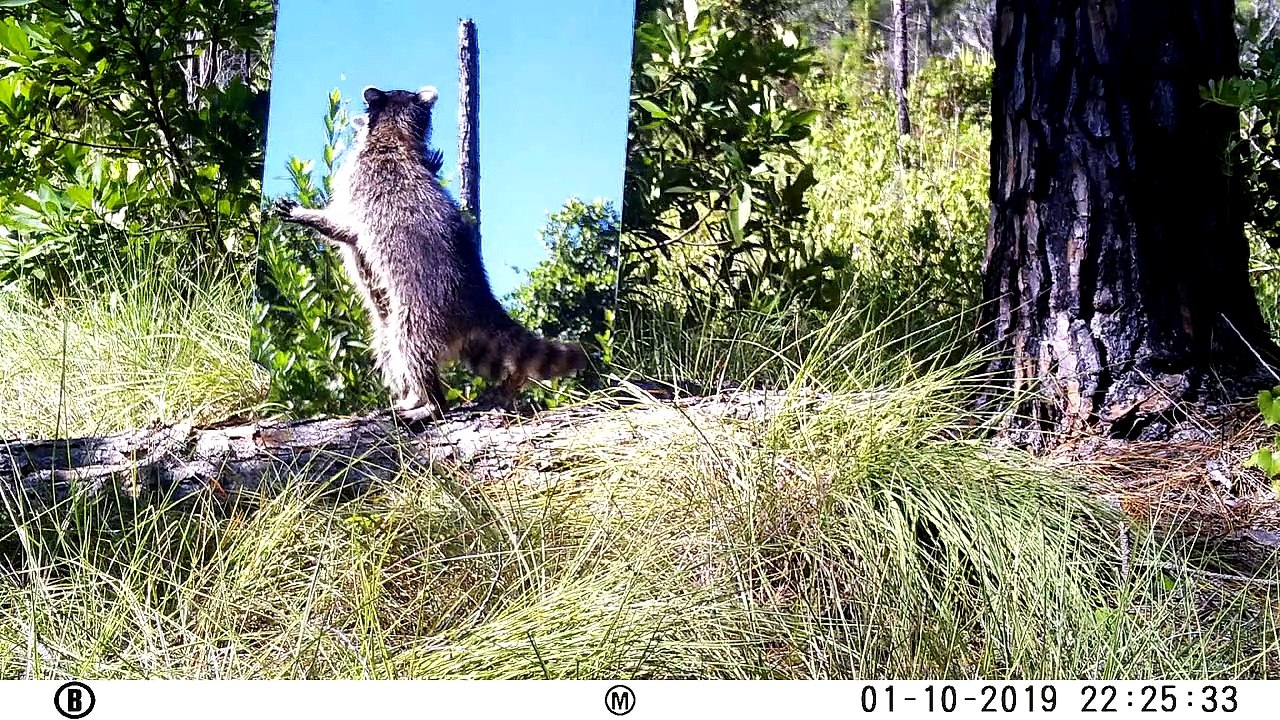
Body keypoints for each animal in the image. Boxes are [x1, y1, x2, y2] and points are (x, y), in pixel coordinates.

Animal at [273, 85, 588, 420]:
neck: (393, 134)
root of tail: (479, 296)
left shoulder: (361, 182)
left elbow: (346, 228)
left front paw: (308, 215)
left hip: (423, 309)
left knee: (408, 345)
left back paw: (431, 401)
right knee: (389, 347)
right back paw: (414, 395)